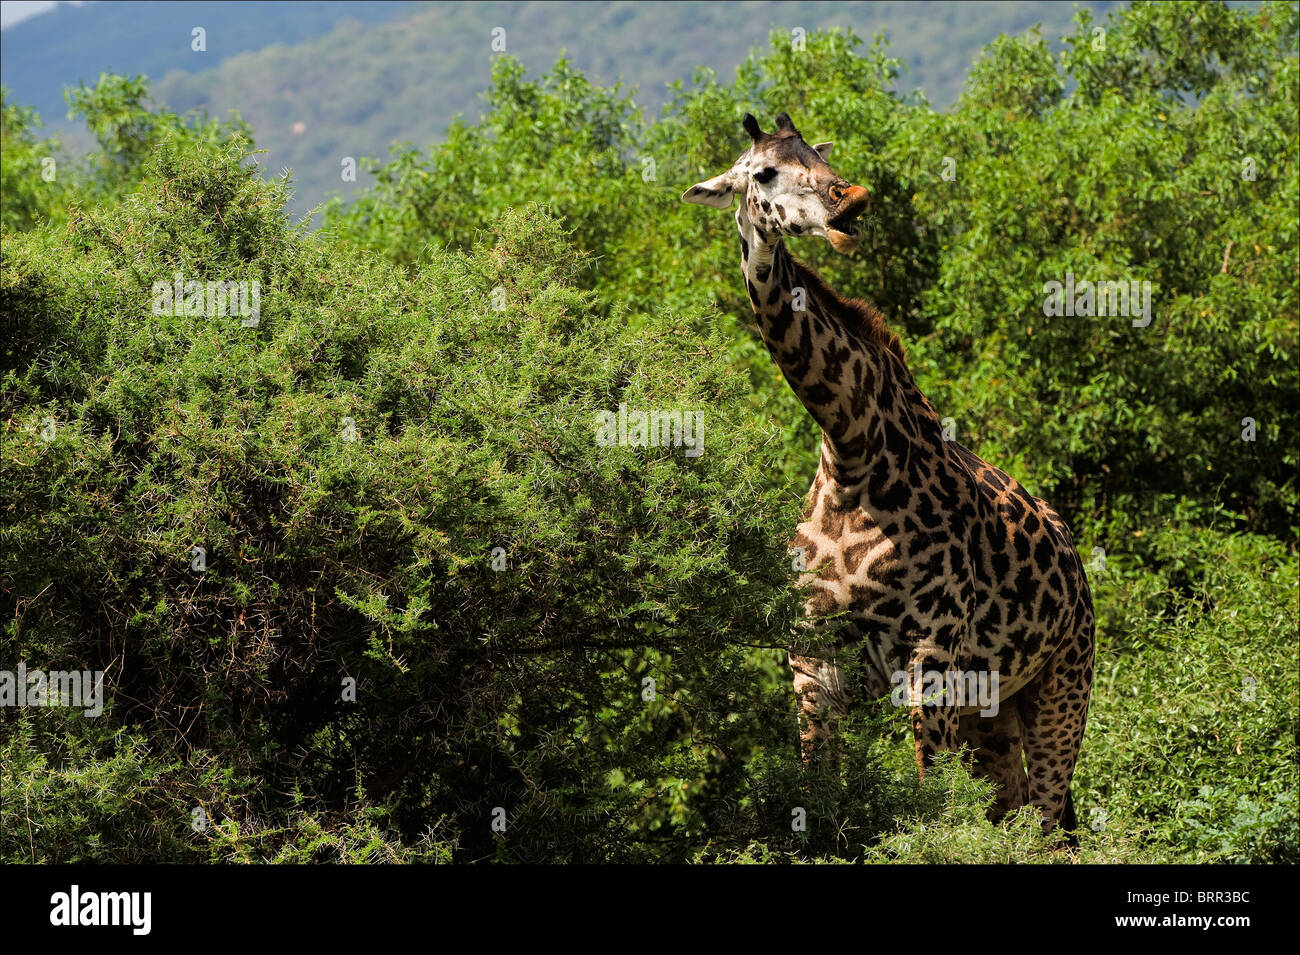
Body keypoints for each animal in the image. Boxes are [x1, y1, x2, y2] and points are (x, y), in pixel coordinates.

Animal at [682, 112, 1095, 831]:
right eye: (764, 172)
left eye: (820, 154)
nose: (848, 200)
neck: (852, 452)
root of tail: (1074, 557)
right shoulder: (812, 661)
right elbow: (818, 802)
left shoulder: (934, 654)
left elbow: (932, 809)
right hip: (994, 709)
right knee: (1013, 812)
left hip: (1062, 683)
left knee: (1046, 824)